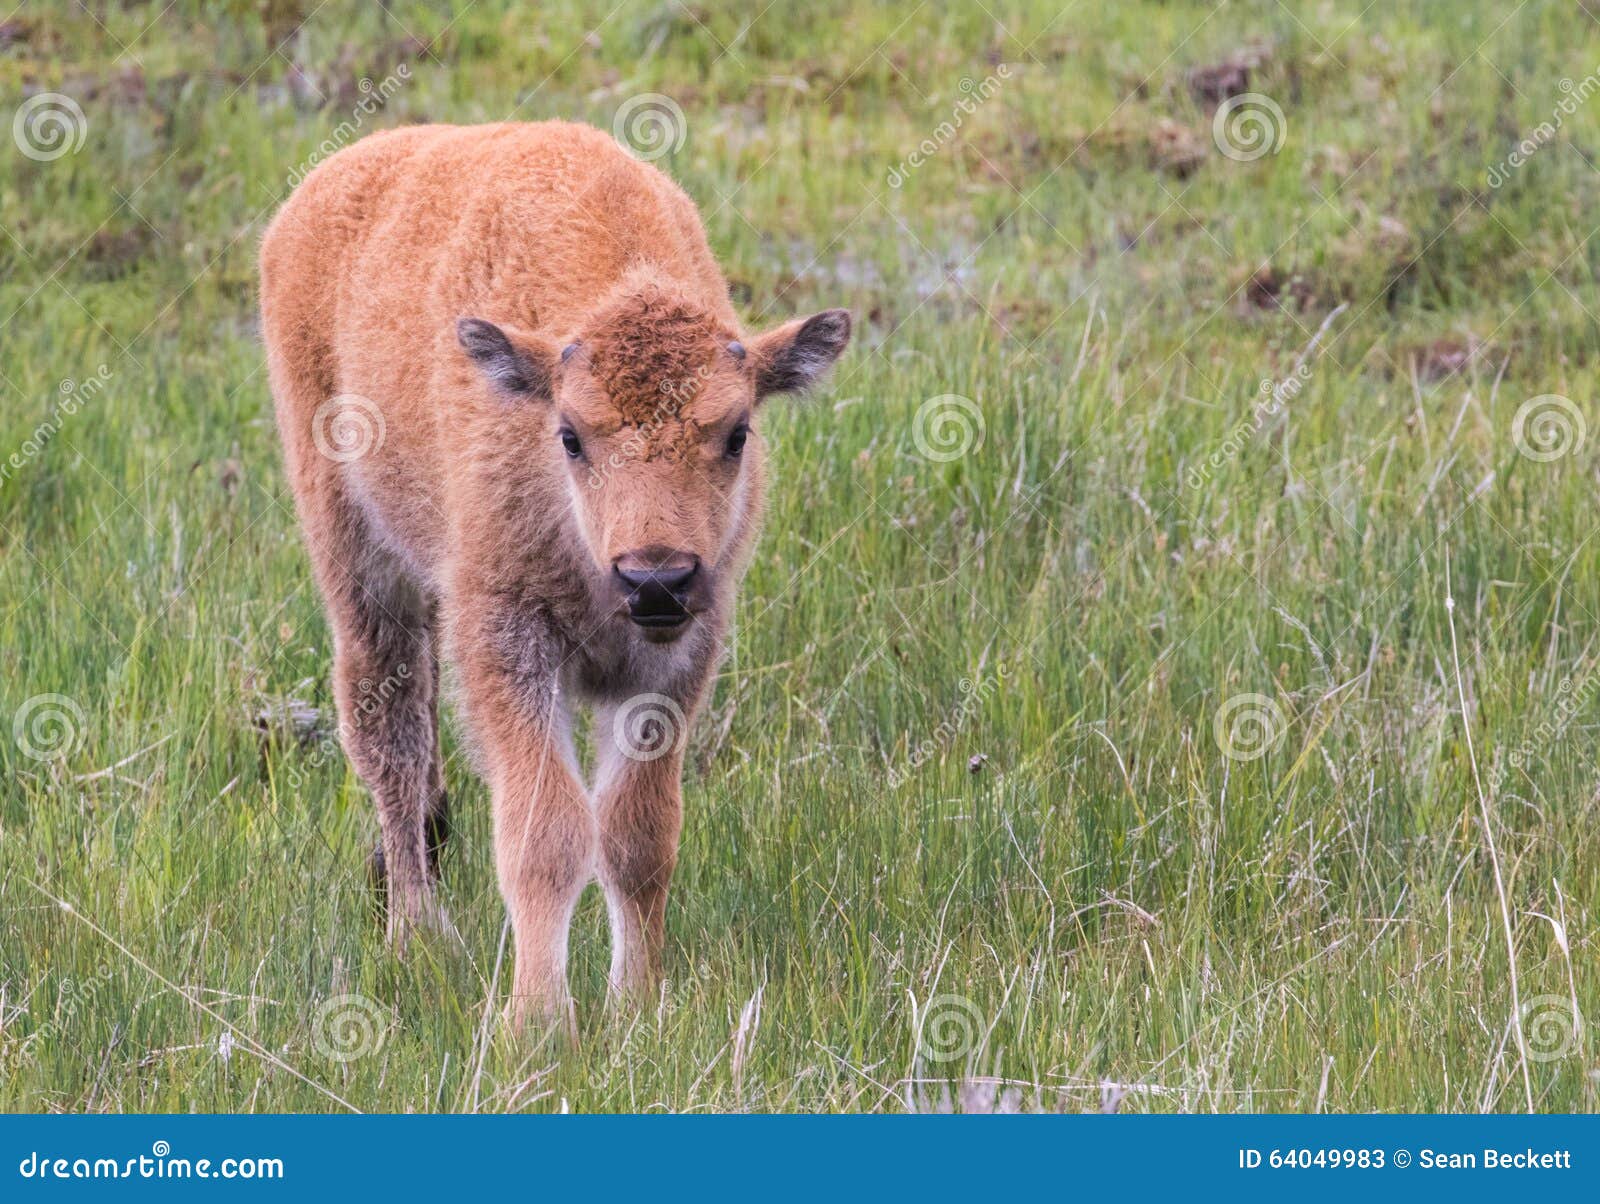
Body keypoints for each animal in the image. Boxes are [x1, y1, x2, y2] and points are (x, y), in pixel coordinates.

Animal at [259, 121, 850, 1034]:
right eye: (570, 435)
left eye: (738, 433)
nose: (655, 579)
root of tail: (328, 183)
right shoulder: (508, 639)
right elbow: (547, 834)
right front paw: (537, 1024)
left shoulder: (677, 660)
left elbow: (638, 837)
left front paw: (640, 1007)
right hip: (356, 555)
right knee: (388, 727)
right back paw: (418, 937)